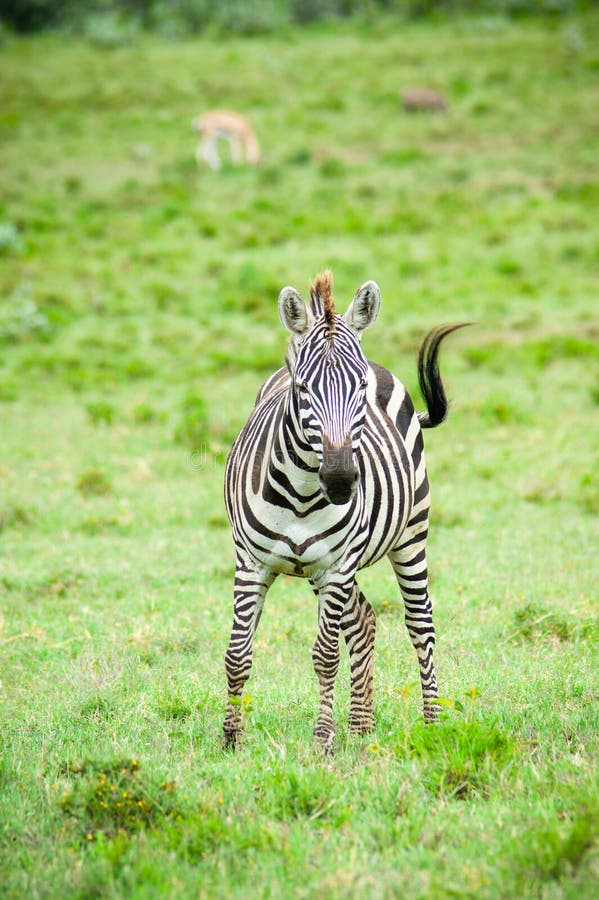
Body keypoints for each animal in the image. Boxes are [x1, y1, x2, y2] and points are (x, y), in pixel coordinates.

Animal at [223, 271, 467, 751]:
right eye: (302, 388)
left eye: (360, 389)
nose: (339, 480)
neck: (301, 493)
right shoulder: (251, 562)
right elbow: (238, 654)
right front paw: (230, 740)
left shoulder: (336, 566)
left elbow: (324, 656)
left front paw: (322, 740)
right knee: (365, 620)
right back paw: (360, 725)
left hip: (410, 535)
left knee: (420, 623)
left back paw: (431, 724)